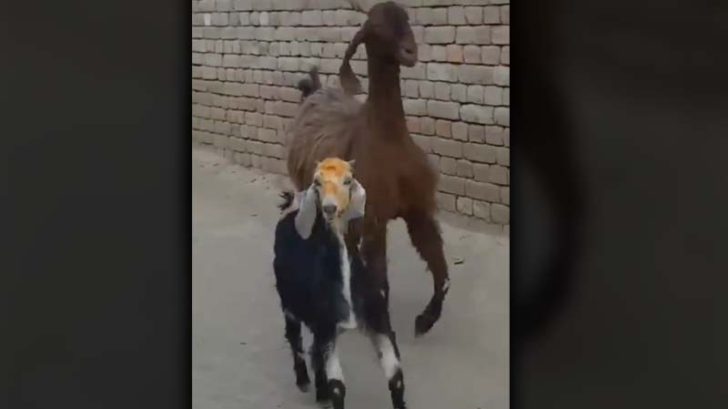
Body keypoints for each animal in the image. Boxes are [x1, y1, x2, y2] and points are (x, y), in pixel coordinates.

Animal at [273, 158, 407, 409]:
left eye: (348, 180)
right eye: (317, 182)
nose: (329, 208)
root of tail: (291, 211)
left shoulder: (379, 323)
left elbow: (396, 377)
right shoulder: (327, 328)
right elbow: (338, 387)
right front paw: (327, 391)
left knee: (313, 351)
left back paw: (320, 392)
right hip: (288, 302)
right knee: (295, 338)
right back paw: (304, 381)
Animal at [286, 0, 450, 337]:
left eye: (406, 18)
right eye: (375, 28)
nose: (409, 51)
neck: (389, 142)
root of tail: (313, 91)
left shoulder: (417, 208)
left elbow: (440, 270)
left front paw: (426, 319)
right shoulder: (375, 217)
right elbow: (382, 281)